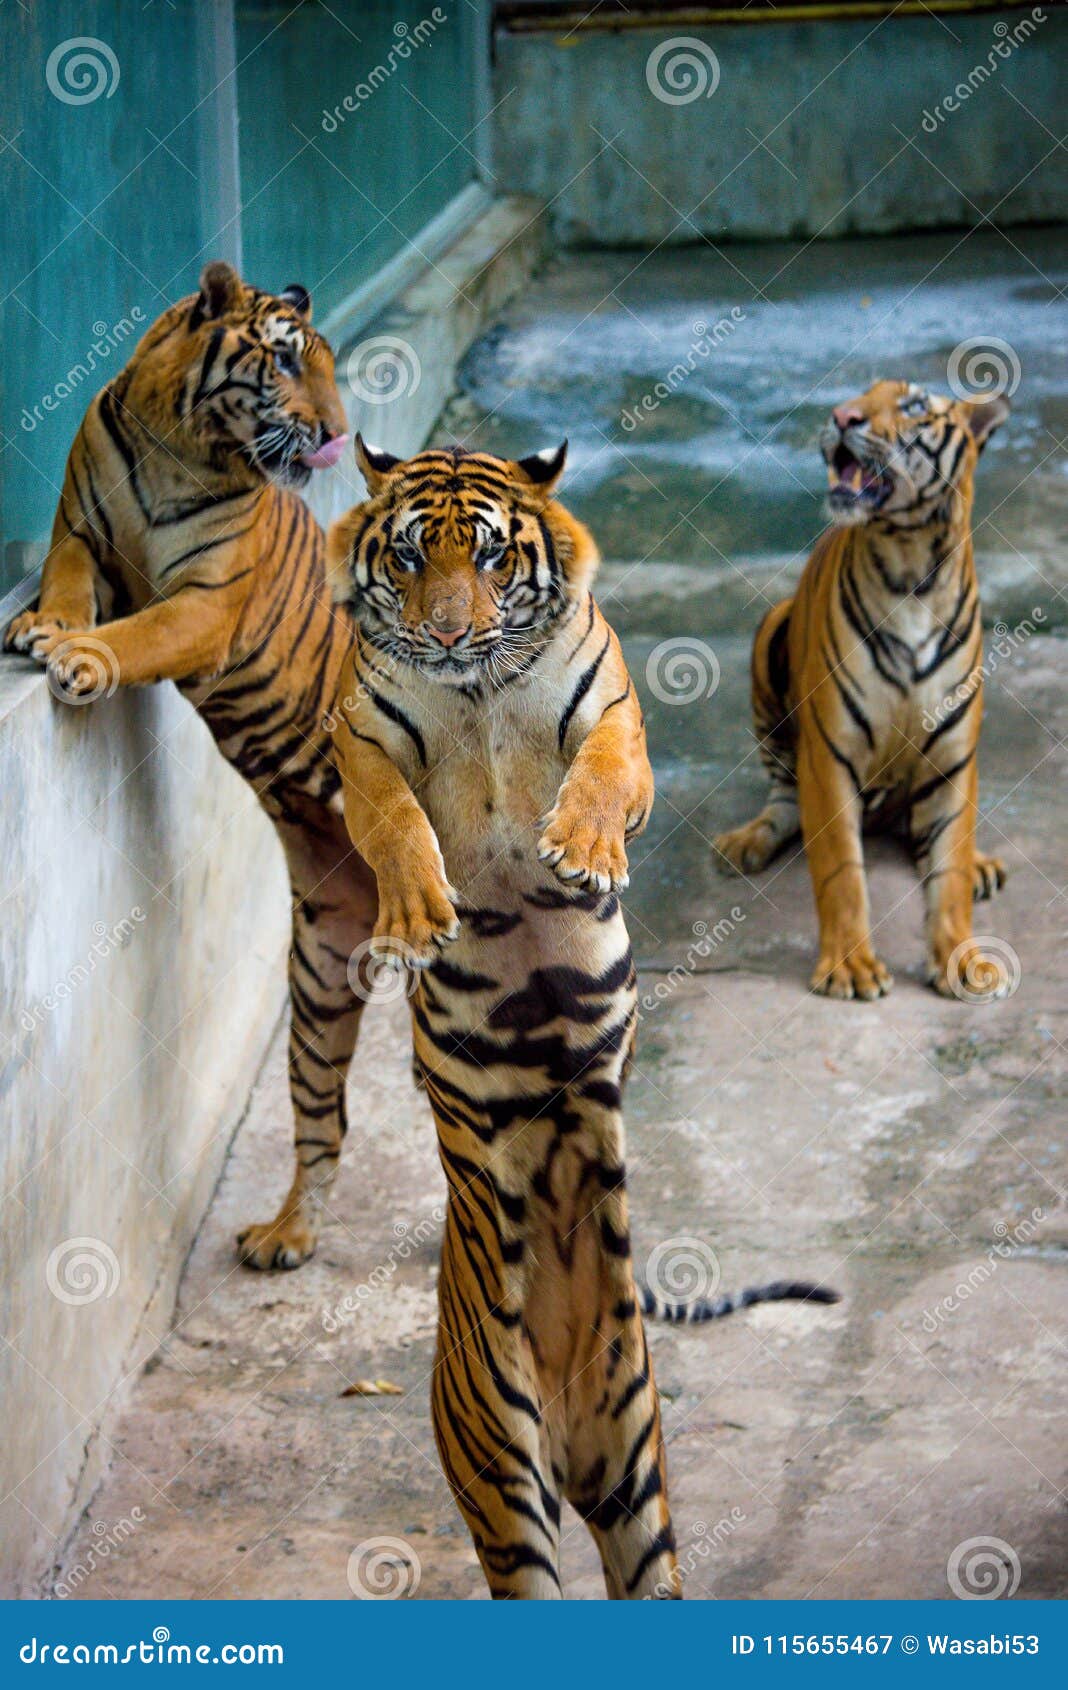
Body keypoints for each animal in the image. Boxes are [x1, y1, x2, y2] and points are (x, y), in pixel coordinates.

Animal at [3, 260, 380, 1269]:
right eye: (286, 364)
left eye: (328, 367)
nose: (336, 434)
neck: (184, 439)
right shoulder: (79, 533)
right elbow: (64, 580)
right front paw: (42, 625)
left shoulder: (204, 603)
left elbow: (136, 636)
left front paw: (80, 656)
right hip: (318, 978)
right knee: (323, 1124)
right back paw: (287, 1235)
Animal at [327, 438, 837, 1599]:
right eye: (411, 558)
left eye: (490, 557)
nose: (448, 633)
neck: (475, 689)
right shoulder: (358, 737)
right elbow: (389, 814)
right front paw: (417, 913)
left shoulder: (615, 715)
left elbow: (604, 773)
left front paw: (583, 851)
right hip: (505, 1477)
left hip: (640, 1477)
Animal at [714, 379, 1011, 1002]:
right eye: (863, 393)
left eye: (915, 406)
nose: (841, 416)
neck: (912, 566)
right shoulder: (831, 753)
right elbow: (841, 871)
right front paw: (849, 968)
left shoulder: (954, 757)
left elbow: (948, 871)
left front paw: (962, 959)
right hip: (771, 638)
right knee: (783, 799)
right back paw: (743, 844)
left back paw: (980, 866)